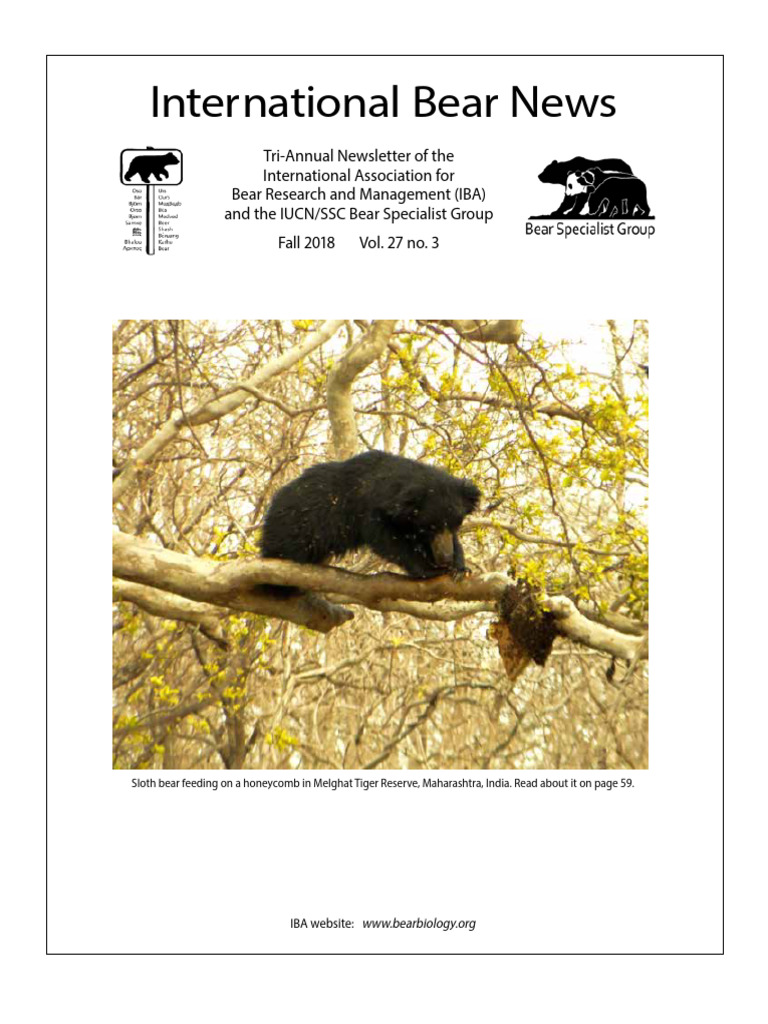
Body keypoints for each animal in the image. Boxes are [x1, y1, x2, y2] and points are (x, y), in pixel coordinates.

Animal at [259, 450, 481, 596]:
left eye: (455, 525)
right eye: (431, 526)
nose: (445, 558)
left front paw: (460, 568)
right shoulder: (370, 513)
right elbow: (389, 542)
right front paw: (432, 569)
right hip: (296, 529)